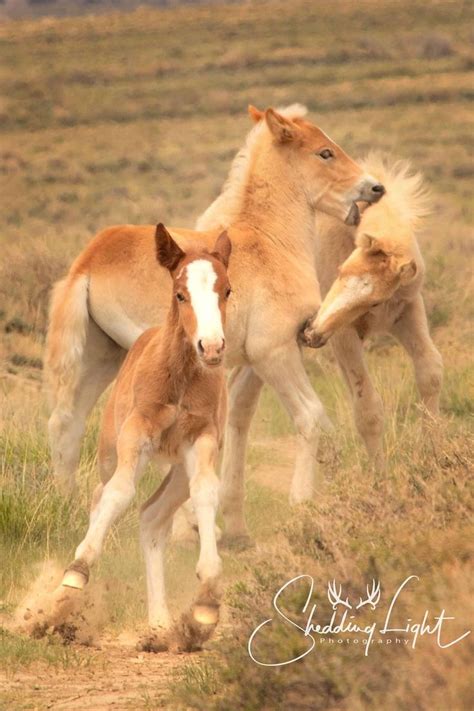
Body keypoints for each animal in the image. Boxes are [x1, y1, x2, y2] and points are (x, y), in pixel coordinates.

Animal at [45, 103, 385, 548]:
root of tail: (90, 258)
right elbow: (311, 416)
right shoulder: (274, 352)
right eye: (324, 152)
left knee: (66, 423)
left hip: (102, 355)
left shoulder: (250, 362)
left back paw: (67, 507)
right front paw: (302, 503)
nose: (375, 188)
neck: (270, 240)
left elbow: (246, 424)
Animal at [61, 224, 232, 652]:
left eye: (227, 290)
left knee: (153, 518)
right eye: (180, 293)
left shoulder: (201, 439)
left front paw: (207, 601)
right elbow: (119, 494)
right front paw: (76, 573)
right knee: (103, 495)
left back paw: (158, 625)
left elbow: (207, 494)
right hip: (111, 450)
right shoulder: (137, 434)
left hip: (179, 472)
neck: (179, 378)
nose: (212, 347)